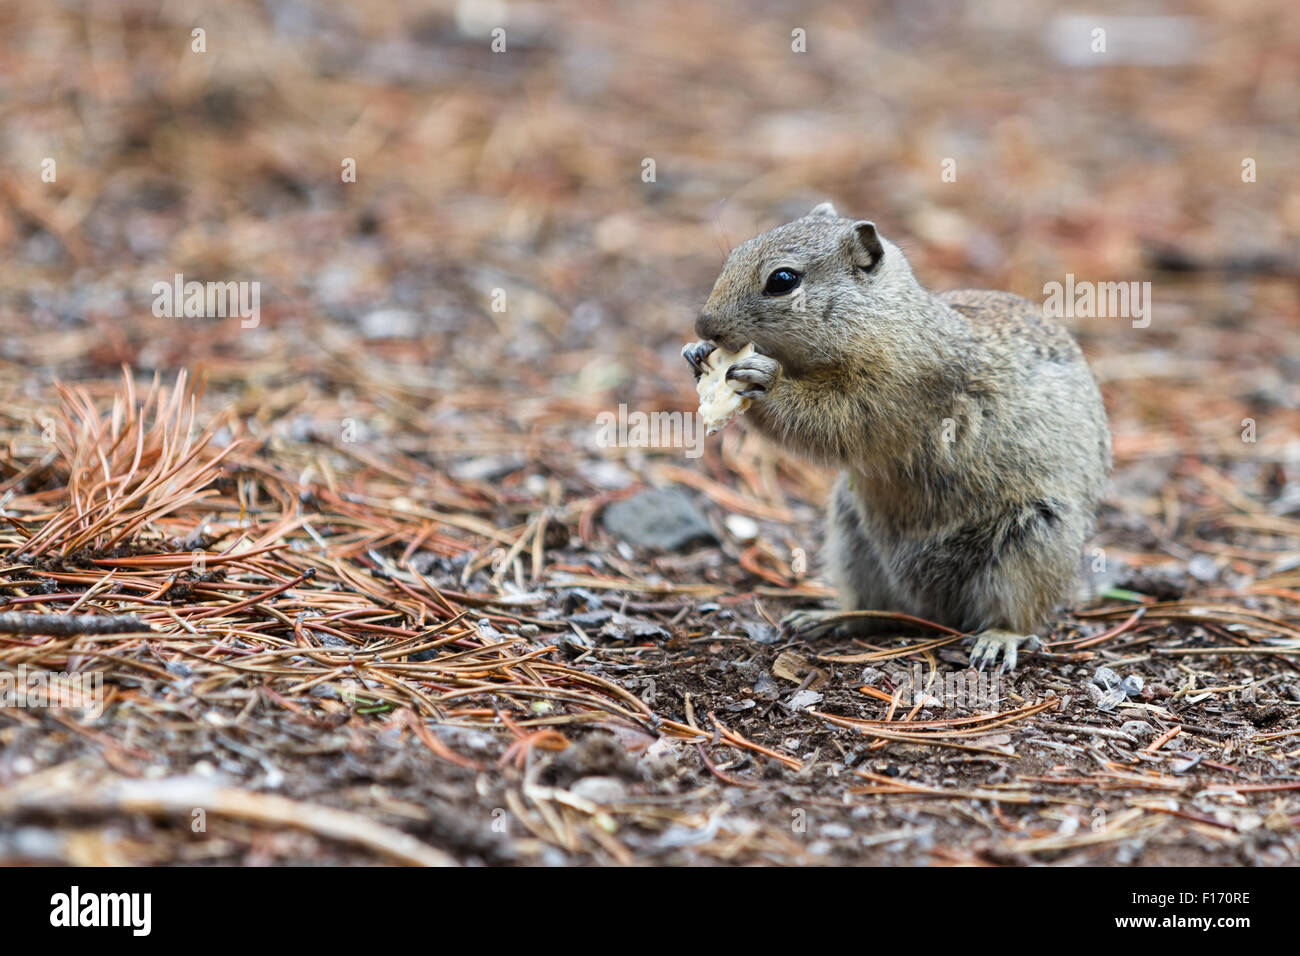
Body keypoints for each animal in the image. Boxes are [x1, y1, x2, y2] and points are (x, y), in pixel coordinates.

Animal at [683, 202, 1111, 670]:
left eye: (782, 280)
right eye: (734, 254)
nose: (704, 326)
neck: (884, 317)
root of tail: (933, 608)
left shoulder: (892, 393)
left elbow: (833, 422)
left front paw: (764, 380)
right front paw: (696, 355)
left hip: (1034, 543)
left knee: (1018, 613)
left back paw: (998, 639)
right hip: (852, 536)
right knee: (874, 609)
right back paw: (829, 617)